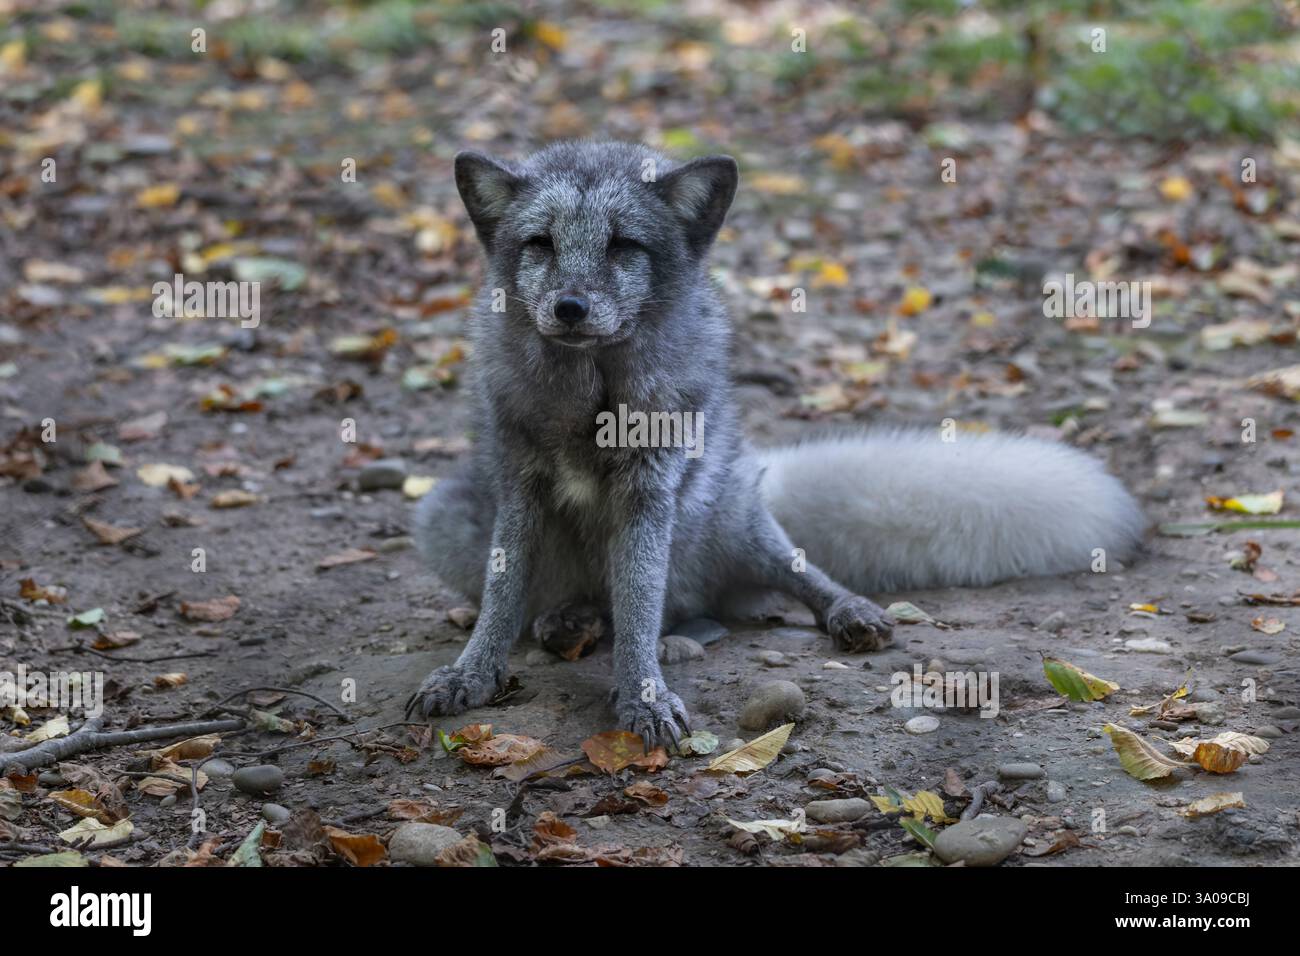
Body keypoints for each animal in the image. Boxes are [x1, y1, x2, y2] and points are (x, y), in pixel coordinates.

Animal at [407, 141, 1145, 747]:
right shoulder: (520, 486)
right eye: (540, 243)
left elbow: (640, 604)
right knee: (572, 605)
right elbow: (501, 599)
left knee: (771, 577)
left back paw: (836, 611)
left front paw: (644, 694)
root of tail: (755, 473)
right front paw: (470, 673)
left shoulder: (651, 492)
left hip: (730, 519)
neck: (592, 398)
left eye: (622, 246)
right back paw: (570, 621)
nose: (569, 308)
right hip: (442, 515)